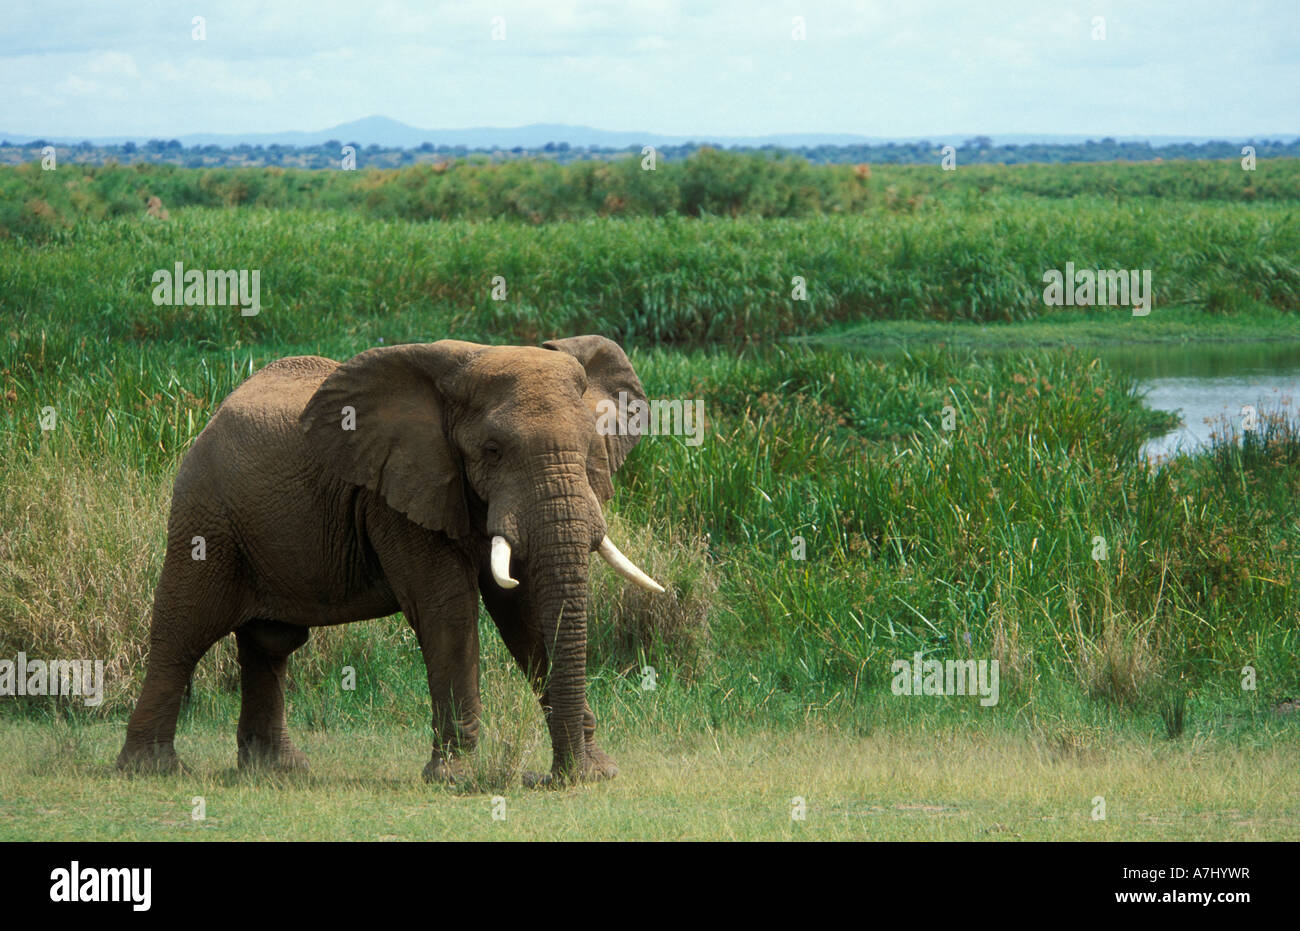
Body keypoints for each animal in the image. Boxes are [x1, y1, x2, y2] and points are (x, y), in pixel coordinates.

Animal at [116, 335, 664, 785]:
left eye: (591, 446)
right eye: (492, 450)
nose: (549, 779)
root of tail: (217, 410)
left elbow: (523, 612)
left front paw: (594, 771)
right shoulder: (397, 493)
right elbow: (447, 610)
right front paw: (455, 779)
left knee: (270, 644)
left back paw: (278, 769)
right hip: (206, 515)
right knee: (184, 630)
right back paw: (151, 769)